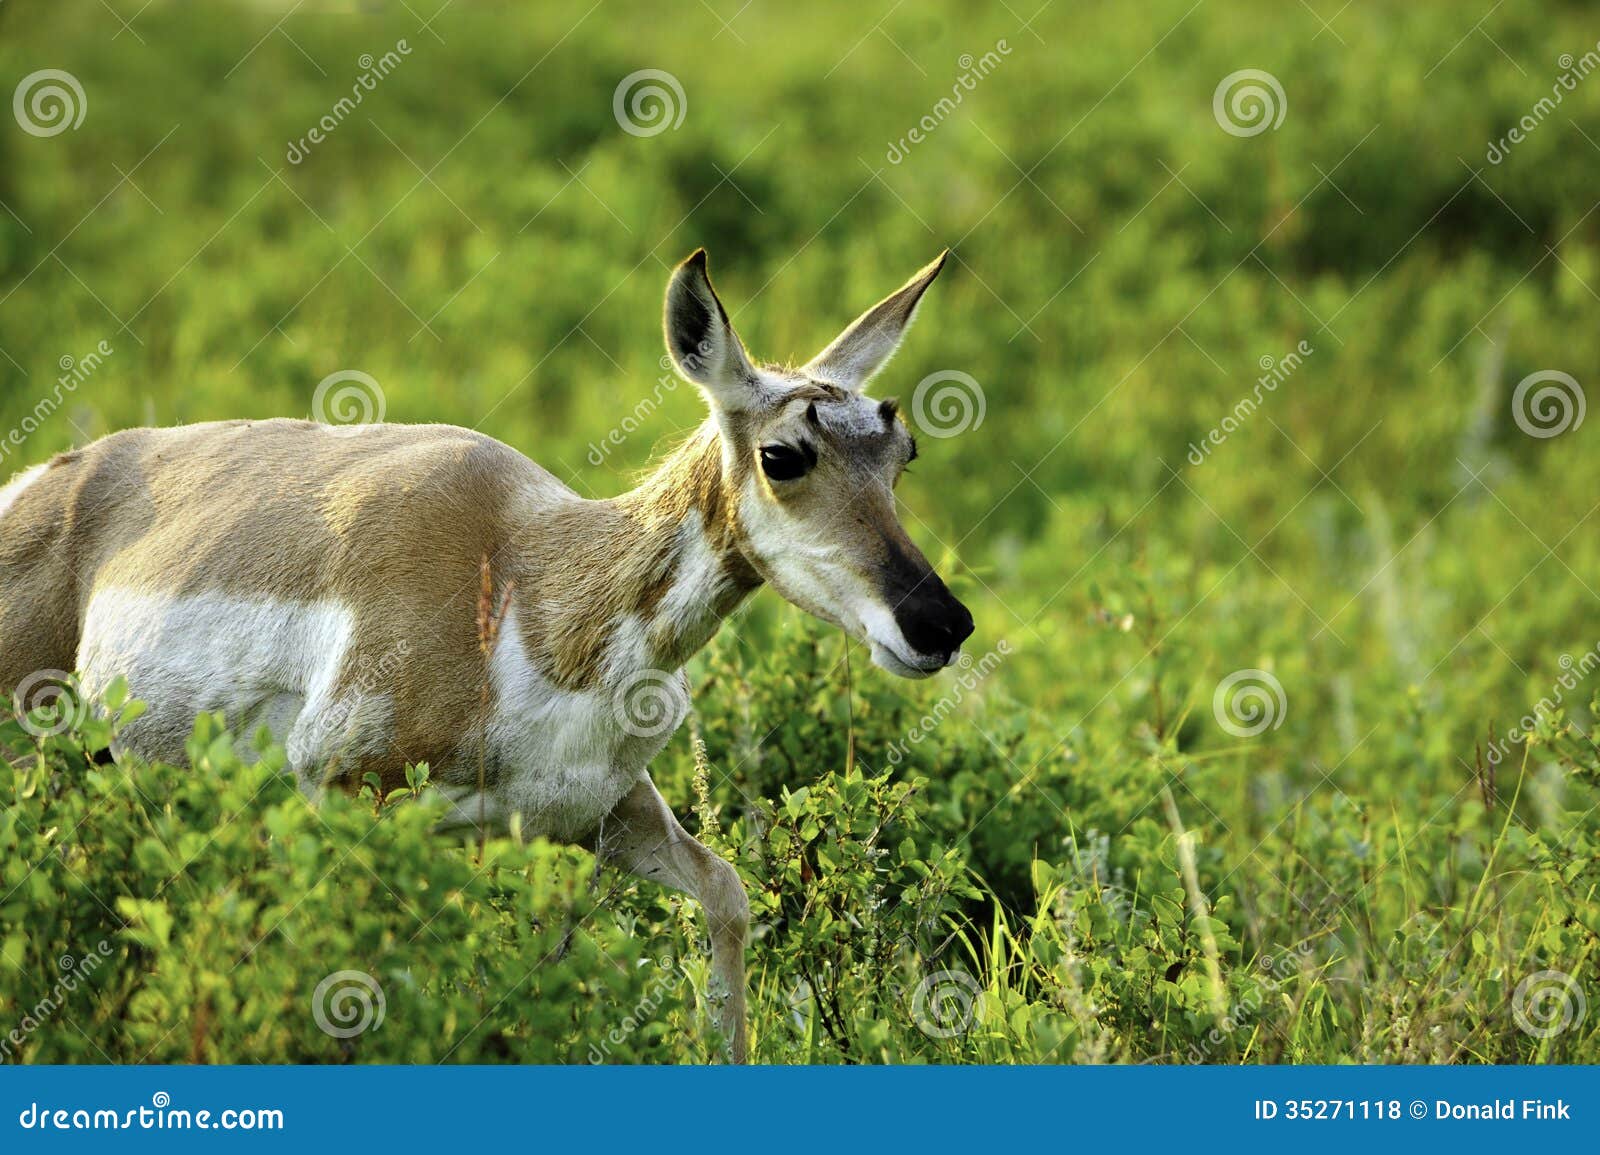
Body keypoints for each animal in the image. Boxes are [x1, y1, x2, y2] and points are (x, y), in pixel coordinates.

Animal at [0, 250, 974, 1061]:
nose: (942, 624)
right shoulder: (350, 803)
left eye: (903, 448)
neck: (525, 575)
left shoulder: (598, 812)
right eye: (783, 453)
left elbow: (727, 893)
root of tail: (42, 484)